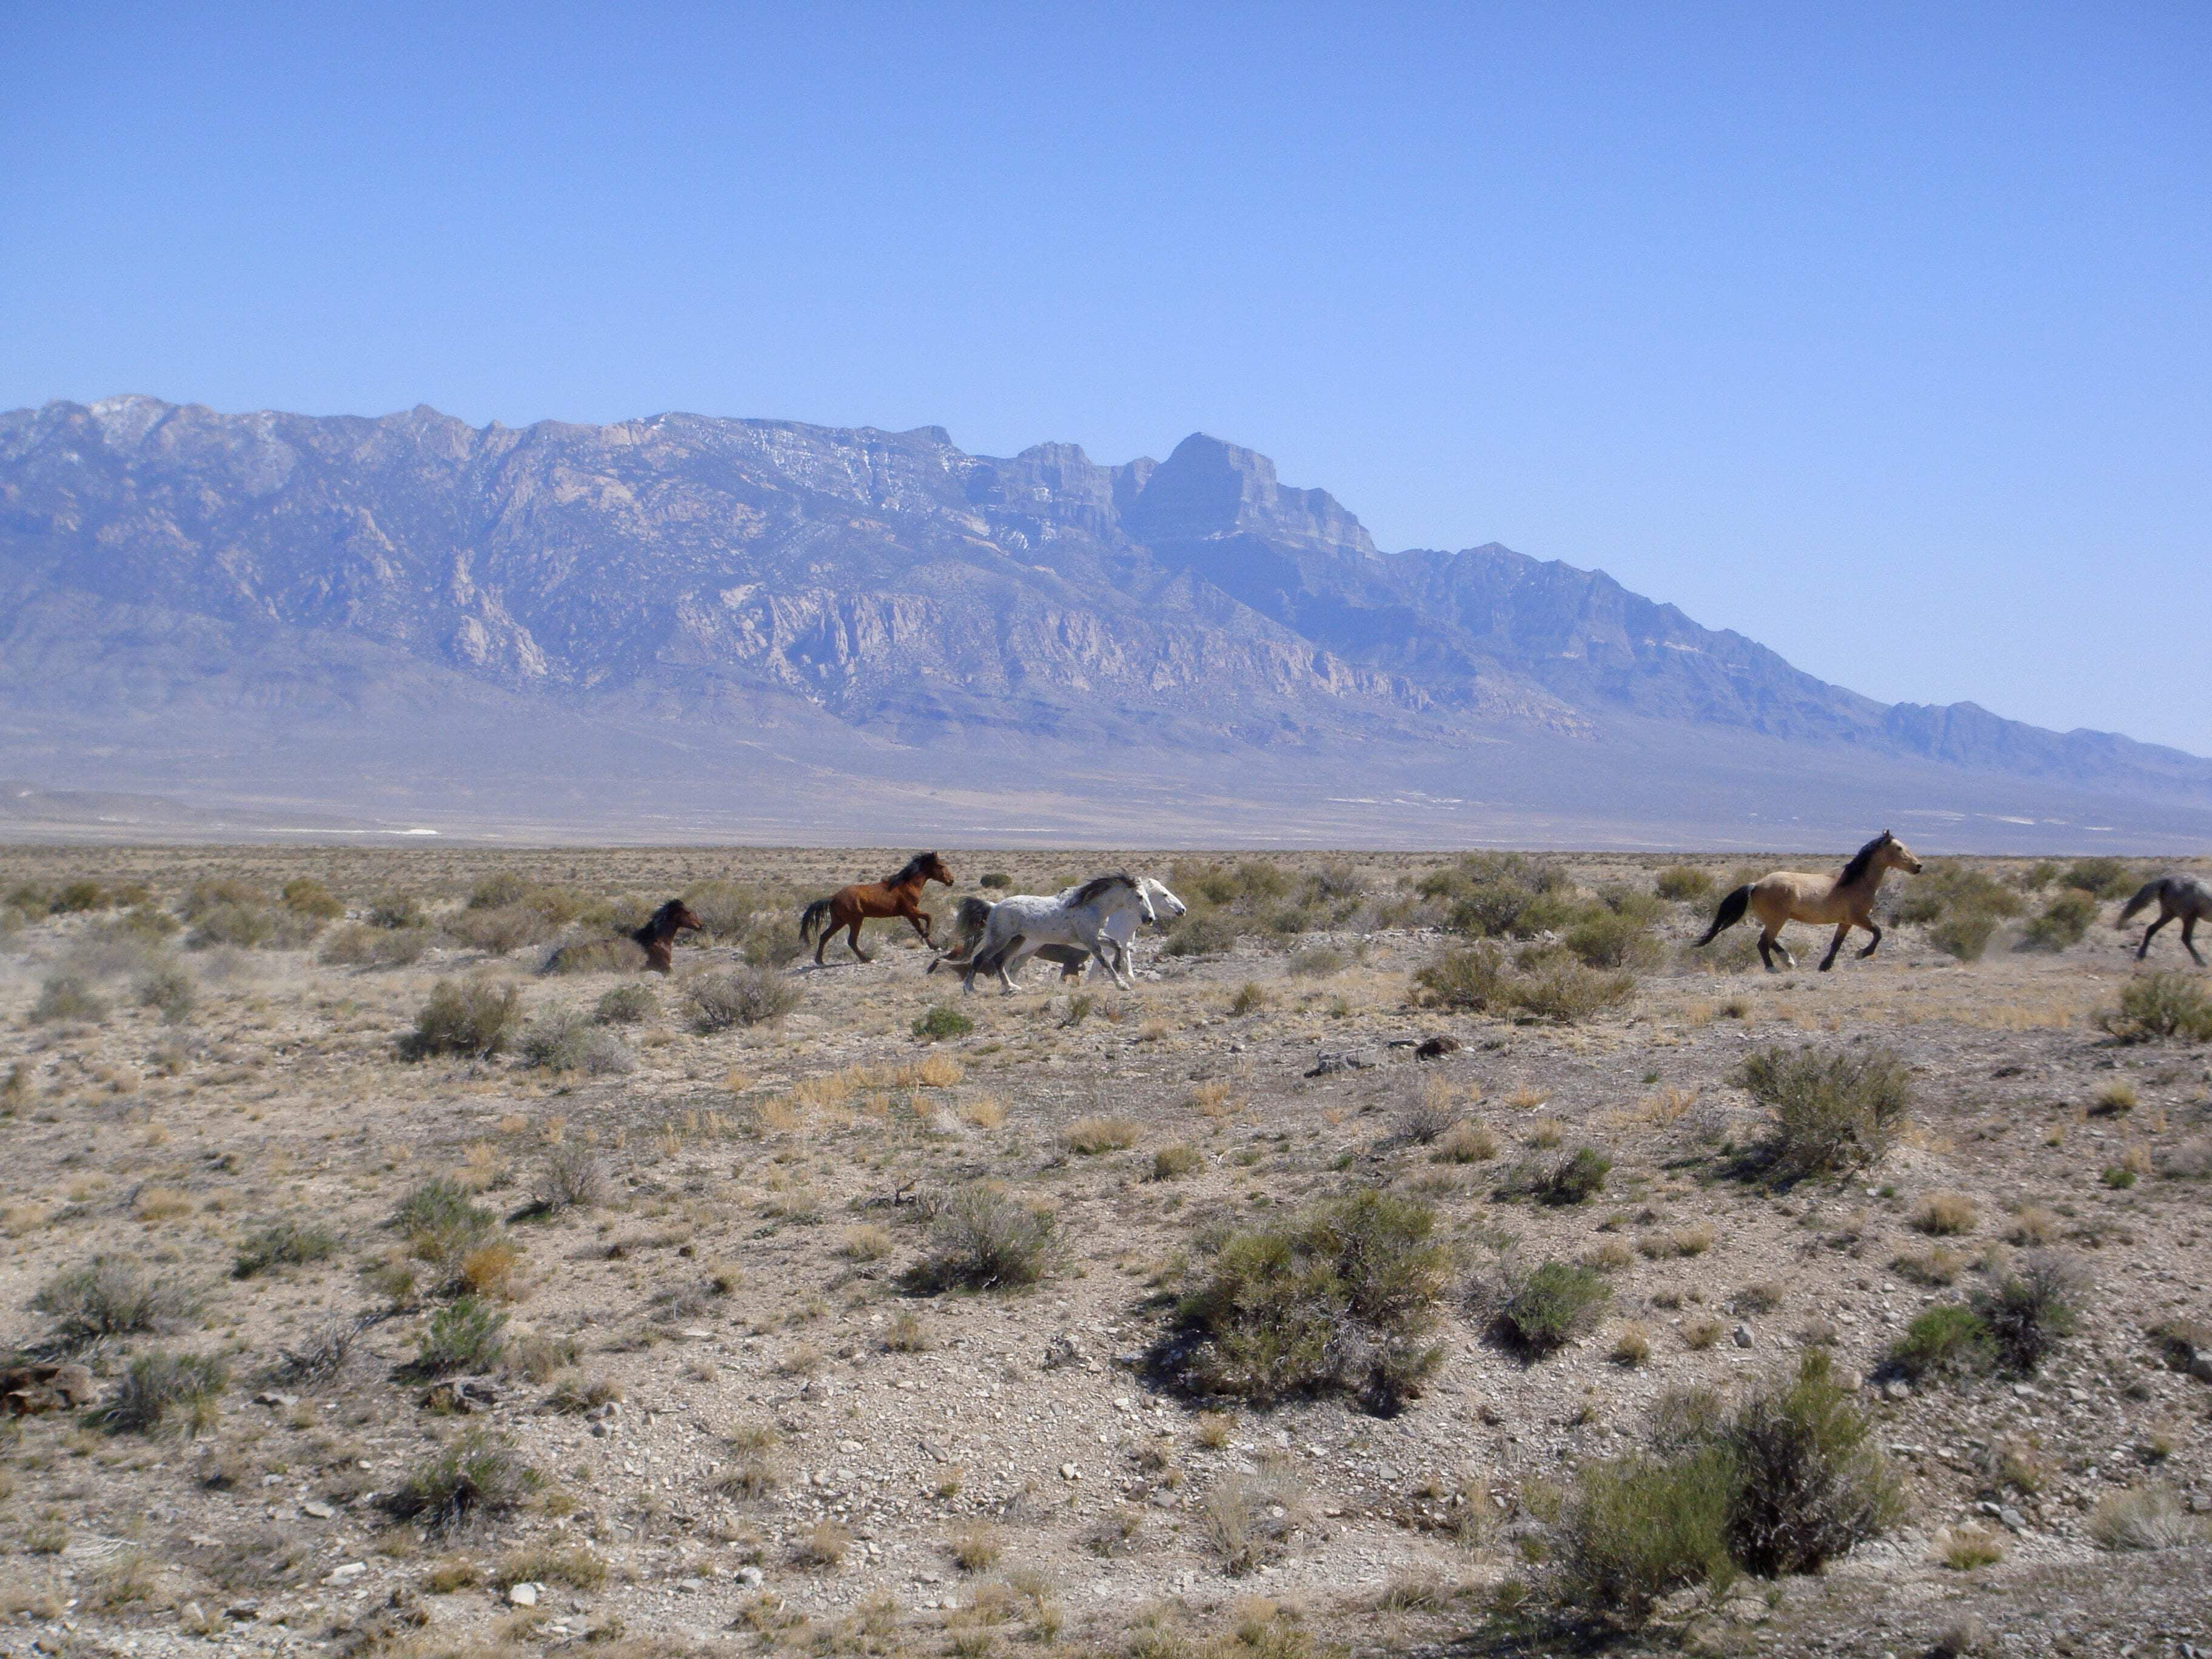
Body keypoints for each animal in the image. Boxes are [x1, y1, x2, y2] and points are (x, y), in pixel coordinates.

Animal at [798, 852, 954, 965]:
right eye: (941, 865)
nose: (951, 881)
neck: (907, 885)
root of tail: (833, 897)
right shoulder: (910, 910)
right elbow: (928, 917)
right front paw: (930, 937)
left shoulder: (910, 914)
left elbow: (919, 927)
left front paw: (935, 946)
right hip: (855, 921)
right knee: (851, 941)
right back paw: (867, 959)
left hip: (839, 921)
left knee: (825, 936)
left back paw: (820, 961)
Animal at [931, 877, 1189, 986]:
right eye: (1139, 896)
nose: (1150, 918)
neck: (1092, 906)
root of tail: (994, 907)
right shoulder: (1091, 941)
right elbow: (1103, 962)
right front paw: (1120, 984)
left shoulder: (1096, 937)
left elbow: (1117, 949)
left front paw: (1121, 975)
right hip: (1002, 940)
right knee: (981, 960)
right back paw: (970, 989)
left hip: (1018, 942)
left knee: (1000, 963)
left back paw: (1011, 988)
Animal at [1696, 830, 1924, 973]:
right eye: (1899, 848)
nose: (1918, 866)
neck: (1856, 883)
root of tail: (1756, 884)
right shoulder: (1858, 918)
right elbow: (1878, 932)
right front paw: (1862, 953)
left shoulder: (1845, 922)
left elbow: (1836, 944)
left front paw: (1825, 966)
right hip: (1778, 919)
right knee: (1763, 942)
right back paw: (1773, 969)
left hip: (1772, 919)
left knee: (1769, 940)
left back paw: (1789, 961)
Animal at [2117, 874, 2212, 965]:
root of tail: (2167, 880)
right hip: (2188, 918)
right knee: (2185, 938)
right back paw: (2201, 962)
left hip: (2169, 914)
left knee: (2151, 929)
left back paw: (2141, 955)